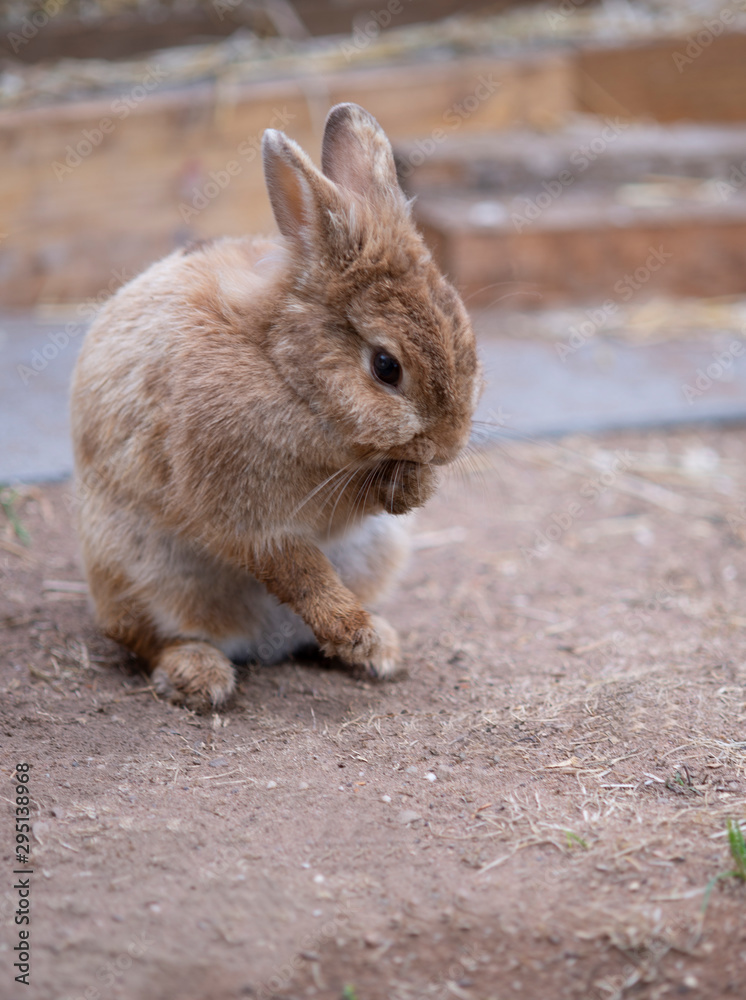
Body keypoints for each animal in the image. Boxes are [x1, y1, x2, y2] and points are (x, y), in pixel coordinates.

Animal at [70, 102, 482, 711]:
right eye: (386, 367)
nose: (450, 447)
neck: (284, 370)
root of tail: (260, 642)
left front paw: (415, 488)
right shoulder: (247, 513)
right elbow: (295, 566)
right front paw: (350, 627)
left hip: (375, 552)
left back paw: (378, 650)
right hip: (139, 571)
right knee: (146, 638)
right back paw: (205, 674)